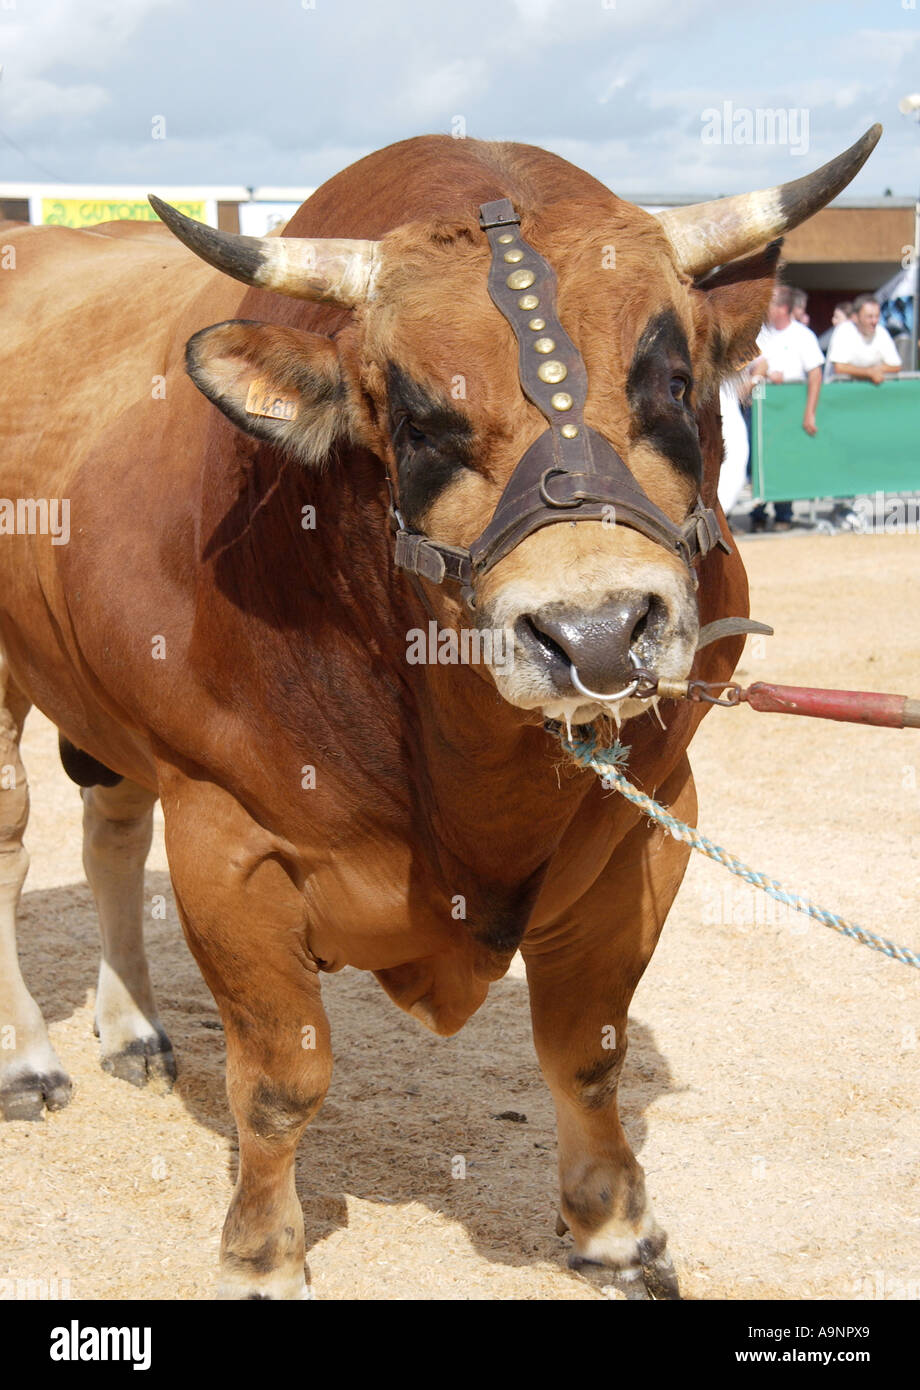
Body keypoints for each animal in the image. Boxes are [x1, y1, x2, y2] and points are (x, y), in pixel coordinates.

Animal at [0, 126, 880, 1299]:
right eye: (419, 423)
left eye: (670, 379)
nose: (597, 632)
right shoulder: (223, 831)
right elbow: (279, 1077)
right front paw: (262, 1252)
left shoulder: (652, 815)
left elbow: (586, 1050)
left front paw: (613, 1226)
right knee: (13, 842)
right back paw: (28, 1056)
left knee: (108, 825)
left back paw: (133, 1030)